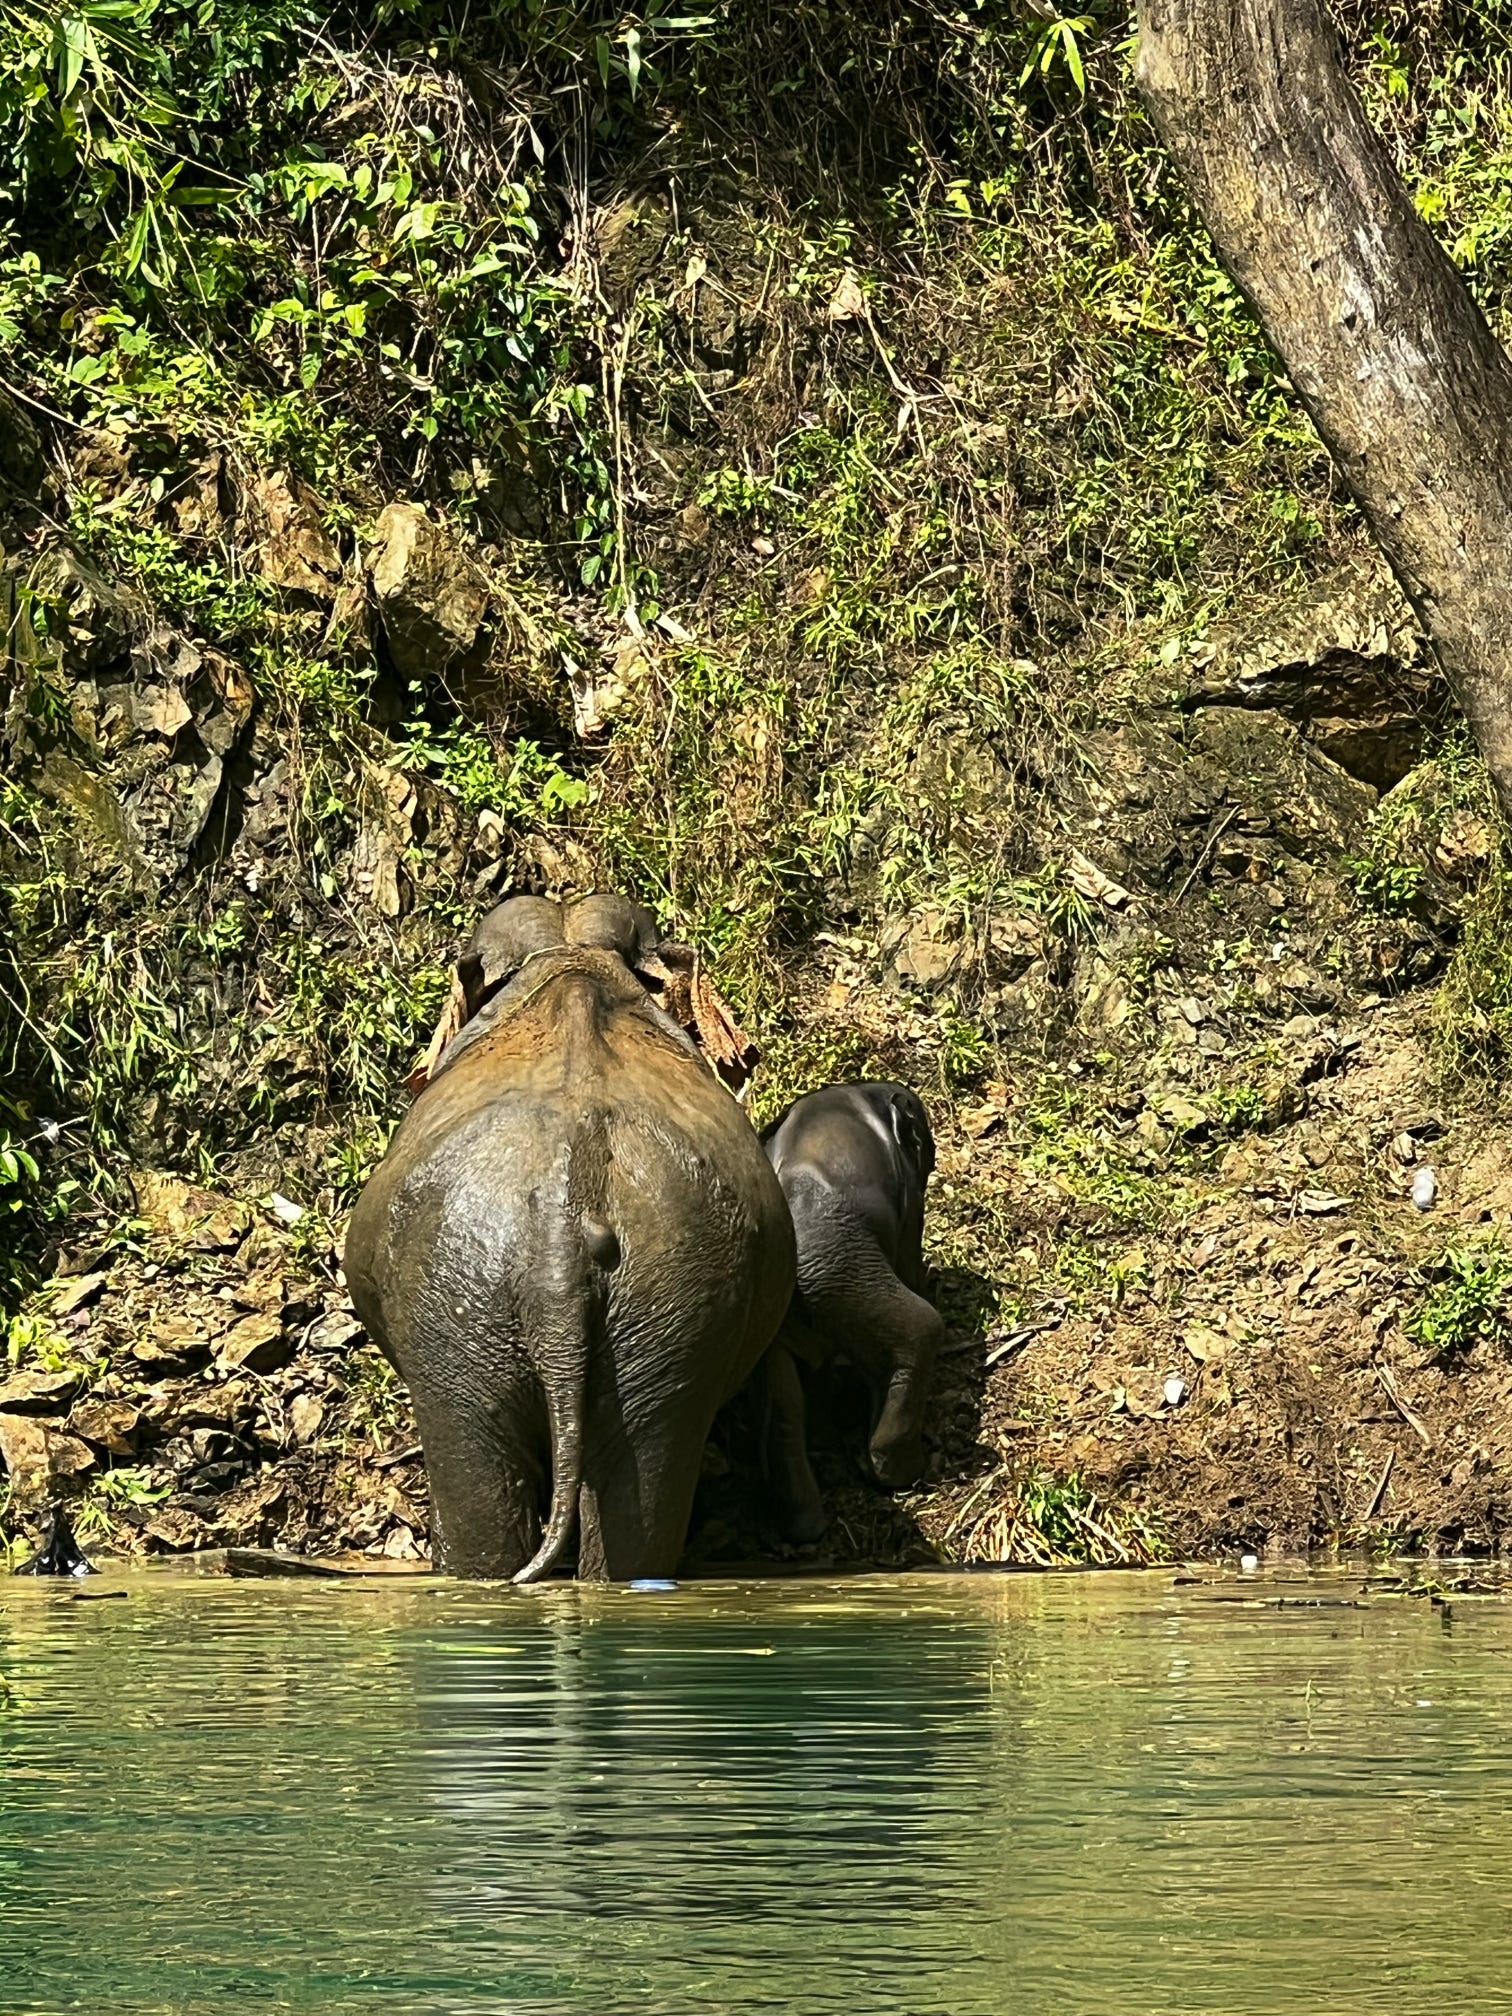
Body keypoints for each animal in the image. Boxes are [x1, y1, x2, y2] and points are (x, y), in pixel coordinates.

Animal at [756, 1081, 943, 1543]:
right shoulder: (908, 1195)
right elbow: (910, 1250)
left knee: (785, 1406)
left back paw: (804, 1527)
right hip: (844, 1275)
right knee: (923, 1328)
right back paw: (899, 1471)